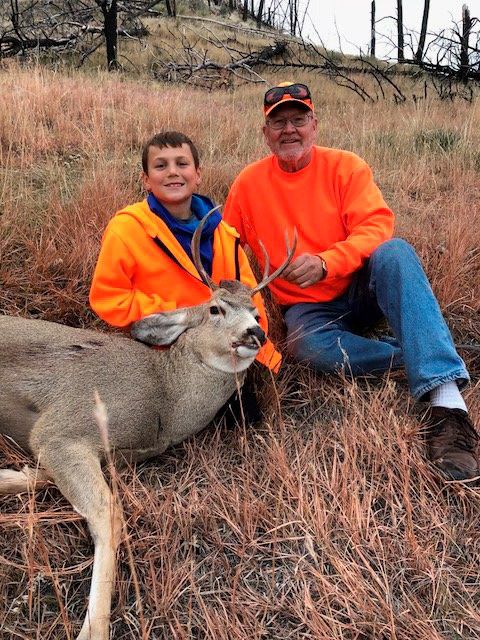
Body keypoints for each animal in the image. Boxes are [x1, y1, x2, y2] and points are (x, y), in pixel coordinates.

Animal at [0, 210, 296, 640]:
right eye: (215, 309)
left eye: (257, 314)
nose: (253, 333)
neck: (166, 398)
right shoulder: (64, 426)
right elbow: (108, 514)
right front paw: (94, 629)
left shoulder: (113, 452)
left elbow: (37, 477)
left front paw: (8, 475)